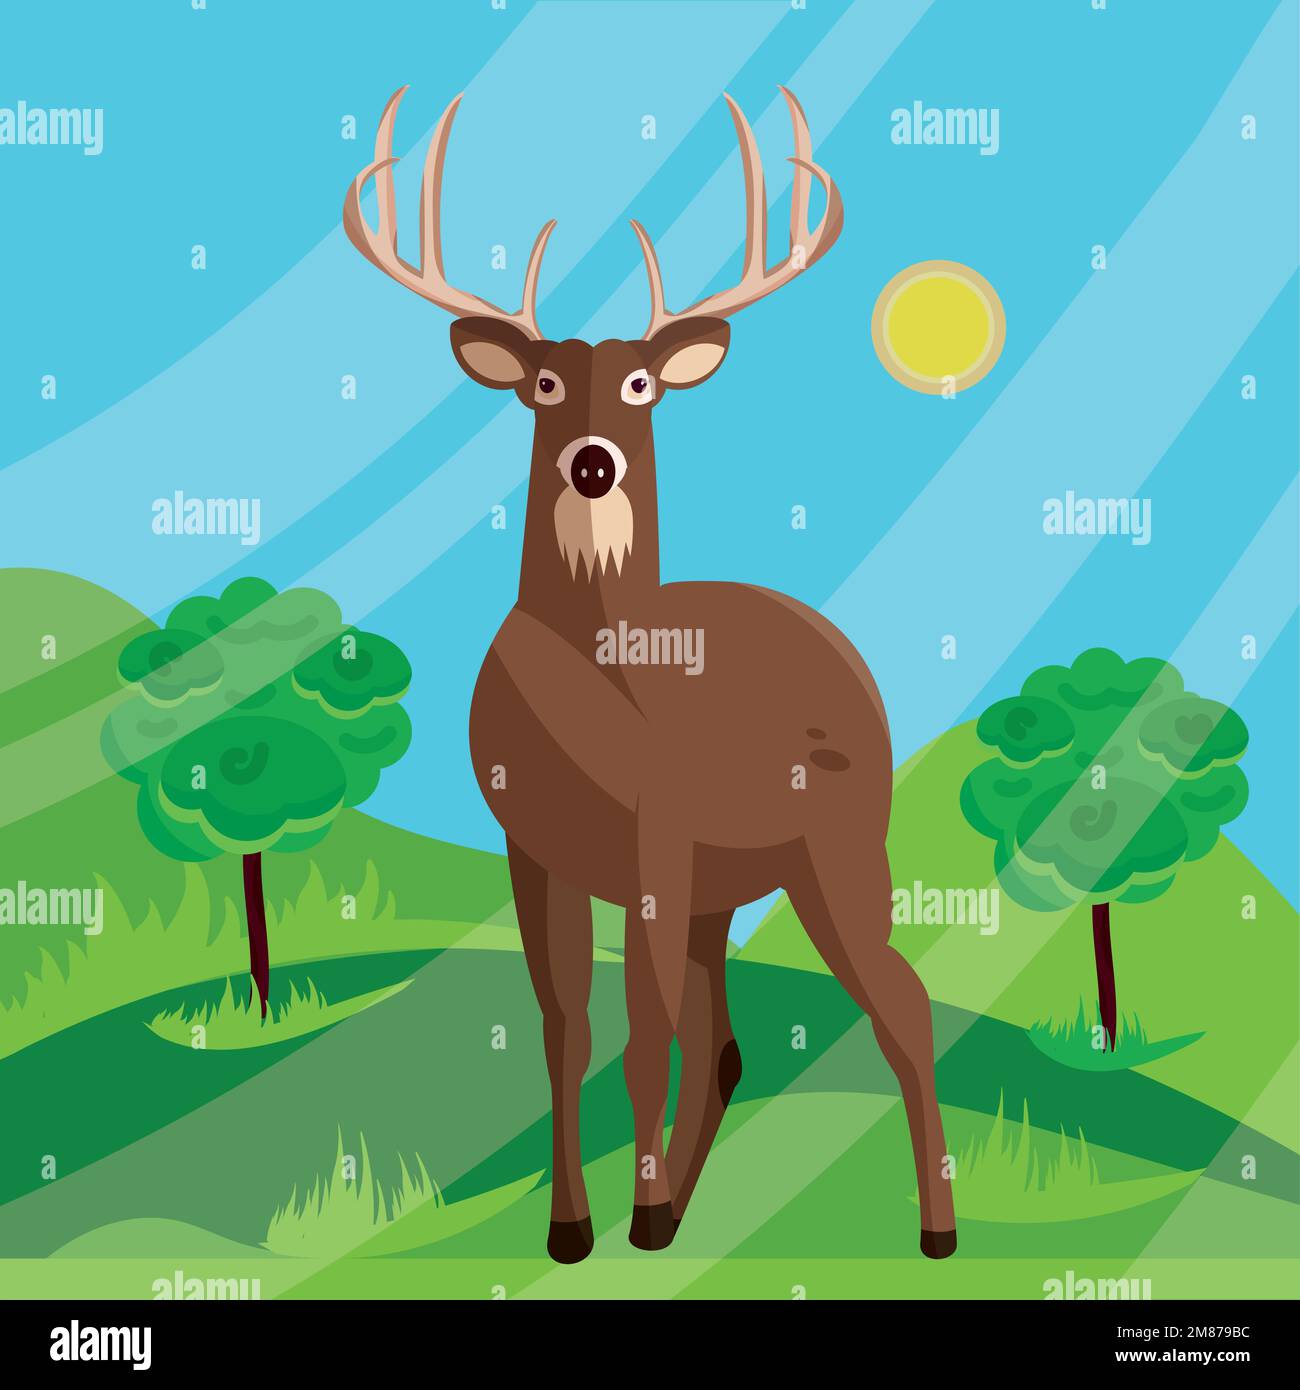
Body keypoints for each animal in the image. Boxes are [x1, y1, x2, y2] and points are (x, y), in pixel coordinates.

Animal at [344, 85, 956, 1265]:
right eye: (543, 382)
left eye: (639, 383)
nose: (595, 461)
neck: (607, 698)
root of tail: (853, 662)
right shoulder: (531, 841)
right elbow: (565, 1027)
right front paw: (575, 1228)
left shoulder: (656, 836)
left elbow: (642, 1033)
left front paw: (627, 1213)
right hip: (733, 883)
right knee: (727, 1040)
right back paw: (675, 1208)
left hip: (841, 840)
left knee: (900, 1004)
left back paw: (935, 1231)